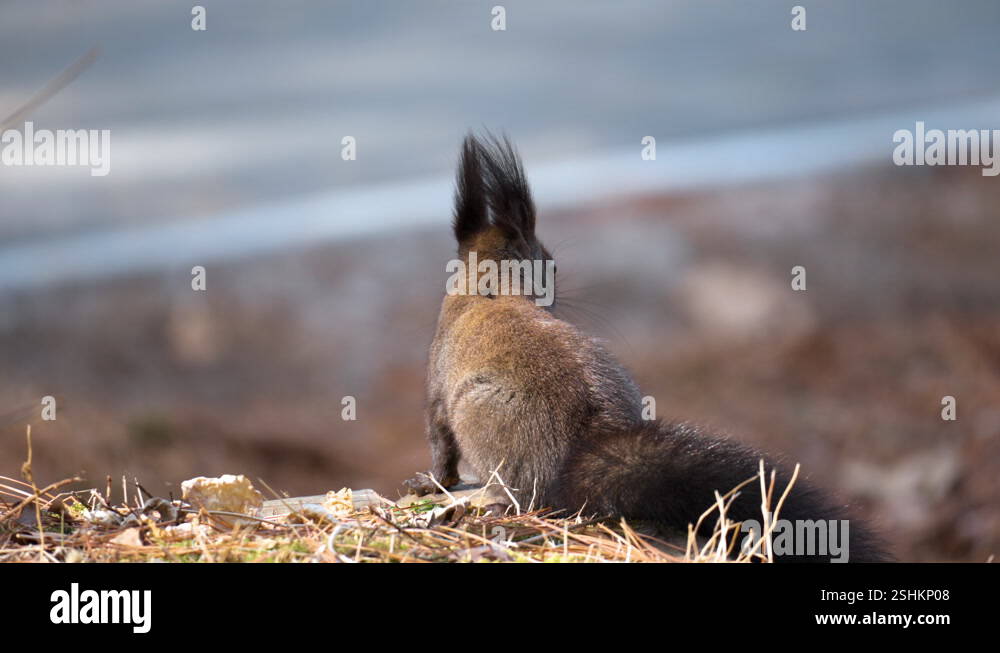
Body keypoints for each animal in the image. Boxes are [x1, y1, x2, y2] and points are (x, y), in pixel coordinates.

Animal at [403, 133, 889, 562]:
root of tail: (584, 446)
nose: (555, 293)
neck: (490, 289)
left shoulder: (438, 389)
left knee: (526, 496)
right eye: (550, 264)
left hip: (482, 416)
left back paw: (499, 503)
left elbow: (441, 444)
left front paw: (430, 483)